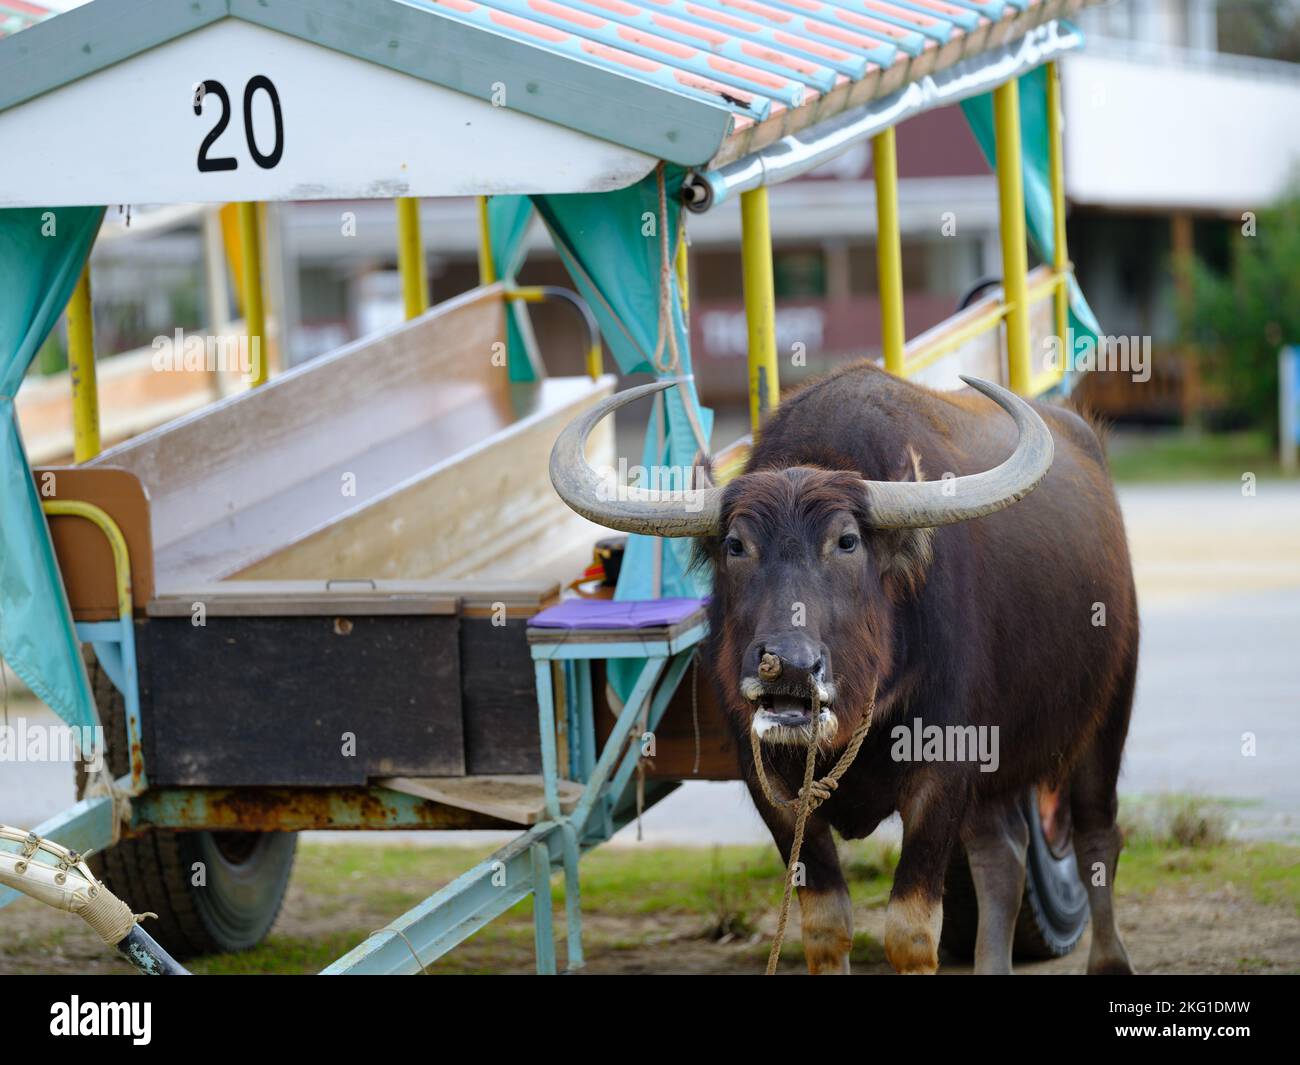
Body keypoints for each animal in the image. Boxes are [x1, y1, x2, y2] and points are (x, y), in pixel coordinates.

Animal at [550, 364, 1136, 975]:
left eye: (847, 541)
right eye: (736, 545)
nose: (788, 666)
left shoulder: (944, 770)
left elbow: (910, 931)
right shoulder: (771, 784)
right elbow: (826, 925)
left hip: (1108, 710)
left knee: (1096, 836)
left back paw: (1109, 960)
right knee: (1003, 850)